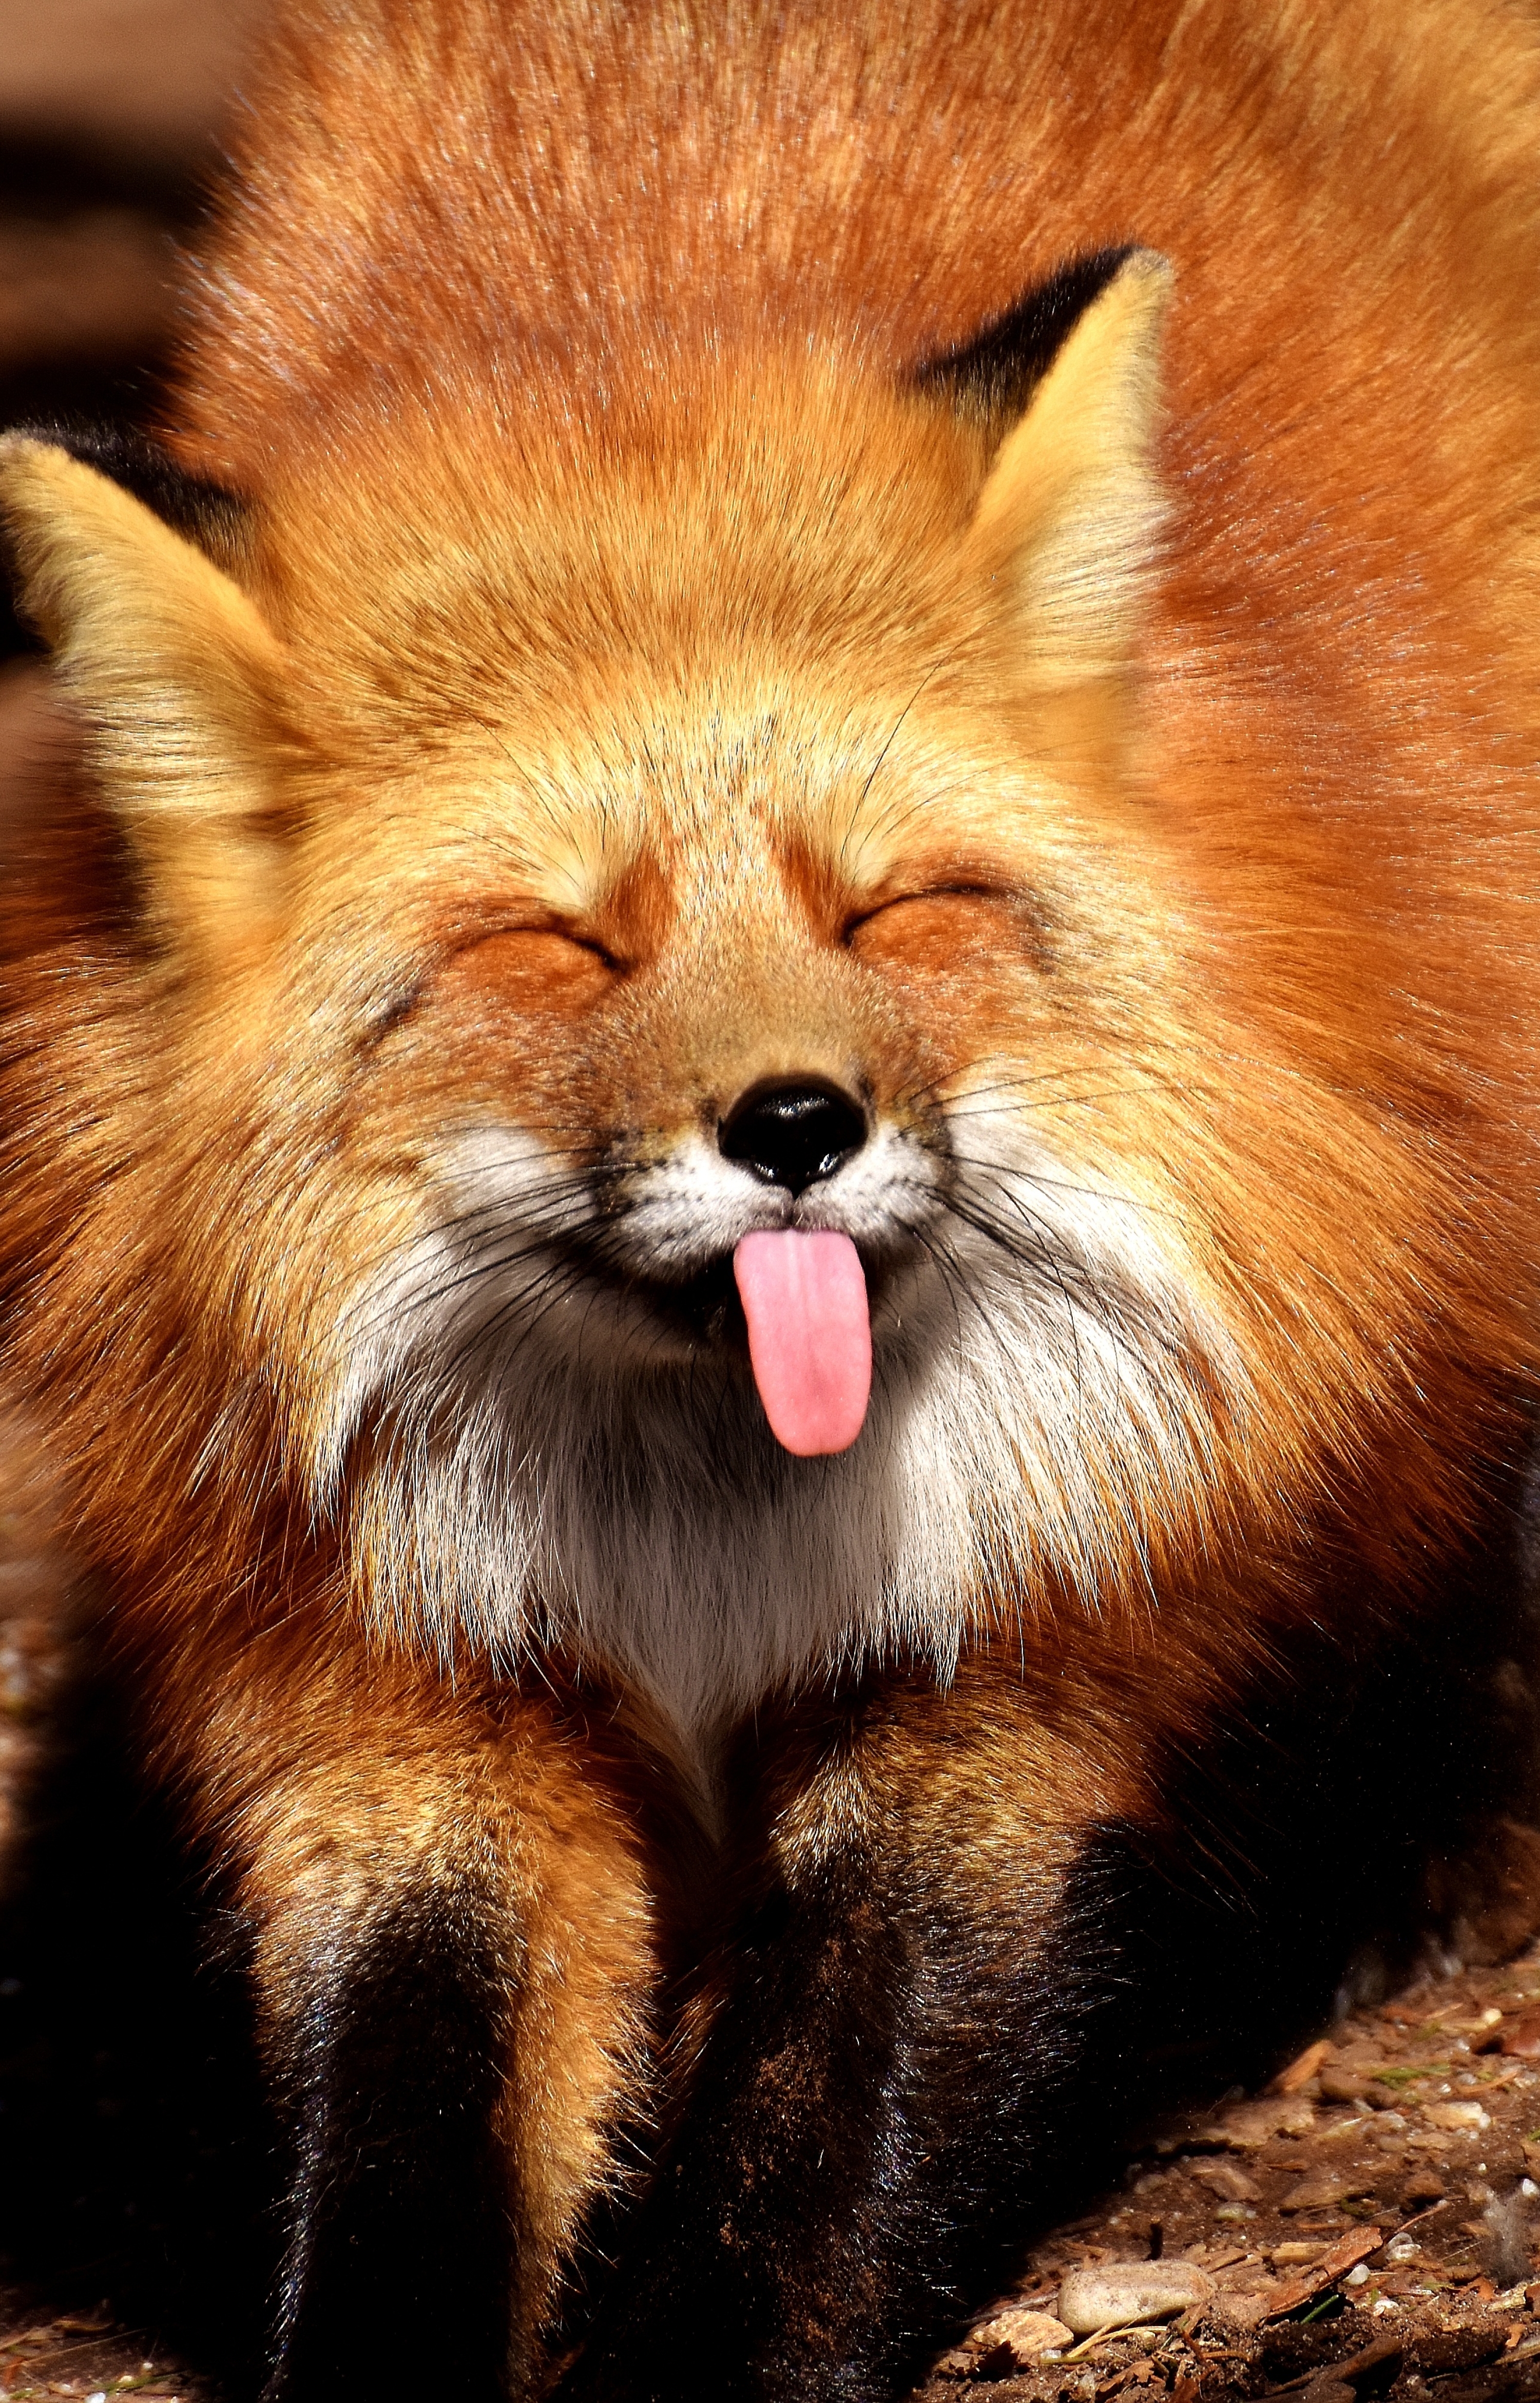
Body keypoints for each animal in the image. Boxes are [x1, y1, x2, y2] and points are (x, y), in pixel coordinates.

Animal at [2, 0, 1540, 2395]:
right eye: (562, 944)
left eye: (883, 904)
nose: (798, 1125)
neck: (712, 1530)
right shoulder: (385, 1687)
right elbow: (412, 2115)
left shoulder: (1029, 1655)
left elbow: (829, 2133)